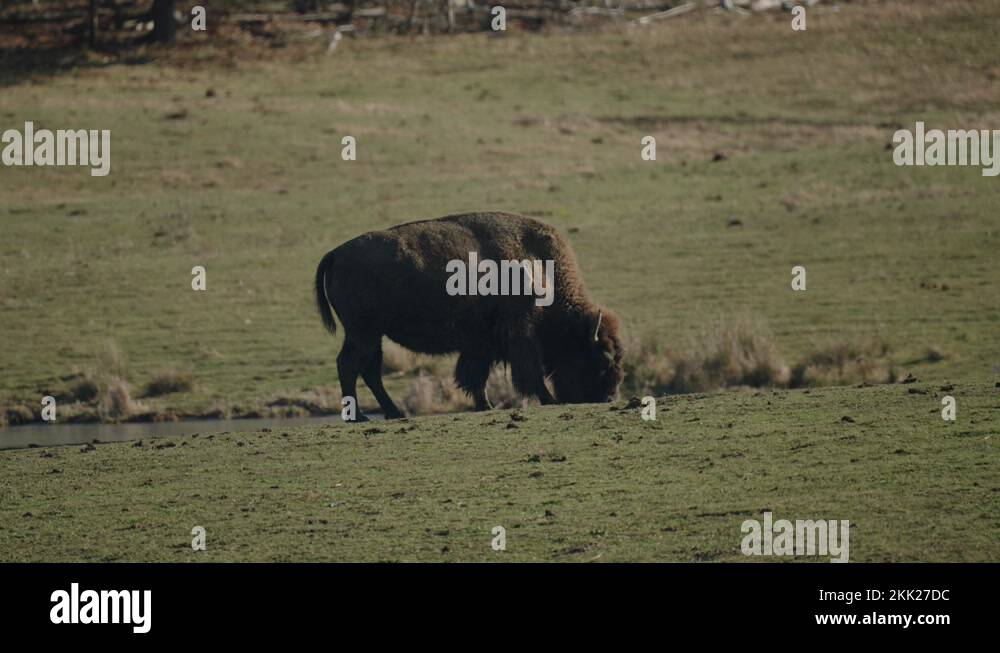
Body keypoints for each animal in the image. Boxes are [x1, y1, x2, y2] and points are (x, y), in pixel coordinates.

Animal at [314, 212, 623, 420]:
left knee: (366, 370)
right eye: (603, 359)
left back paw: (394, 413)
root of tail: (336, 253)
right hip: (363, 333)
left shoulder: (482, 343)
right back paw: (361, 416)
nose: (607, 398)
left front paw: (484, 405)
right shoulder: (520, 334)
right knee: (351, 366)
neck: (539, 264)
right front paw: (549, 401)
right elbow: (528, 372)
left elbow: (476, 376)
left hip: (369, 335)